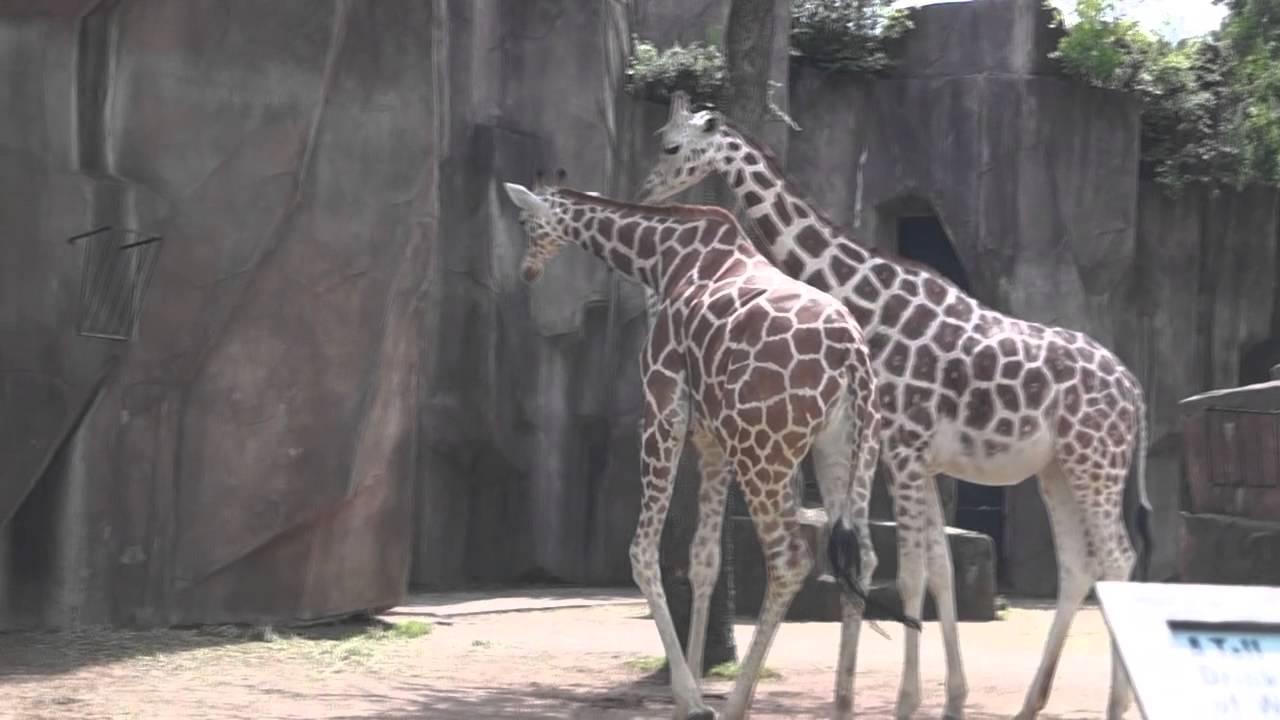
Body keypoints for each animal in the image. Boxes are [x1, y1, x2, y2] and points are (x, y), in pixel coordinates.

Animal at [502, 173, 918, 720]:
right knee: (862, 556)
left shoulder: (664, 408)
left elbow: (642, 552)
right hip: (845, 447)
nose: (527, 271)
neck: (662, 258)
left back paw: (739, 701)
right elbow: (705, 561)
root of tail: (854, 358)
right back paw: (842, 702)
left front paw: (690, 695)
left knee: (791, 560)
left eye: (525, 221)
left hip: (764, 450)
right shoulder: (712, 439)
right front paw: (695, 686)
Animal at [639, 92, 1154, 720]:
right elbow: (939, 567)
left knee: (1119, 560)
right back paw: (1032, 703)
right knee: (1079, 566)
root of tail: (1134, 390)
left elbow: (911, 573)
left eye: (671, 146)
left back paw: (1116, 706)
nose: (647, 187)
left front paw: (908, 701)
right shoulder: (915, 457)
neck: (875, 305)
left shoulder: (903, 450)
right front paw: (951, 698)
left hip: (1095, 462)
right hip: (1058, 468)